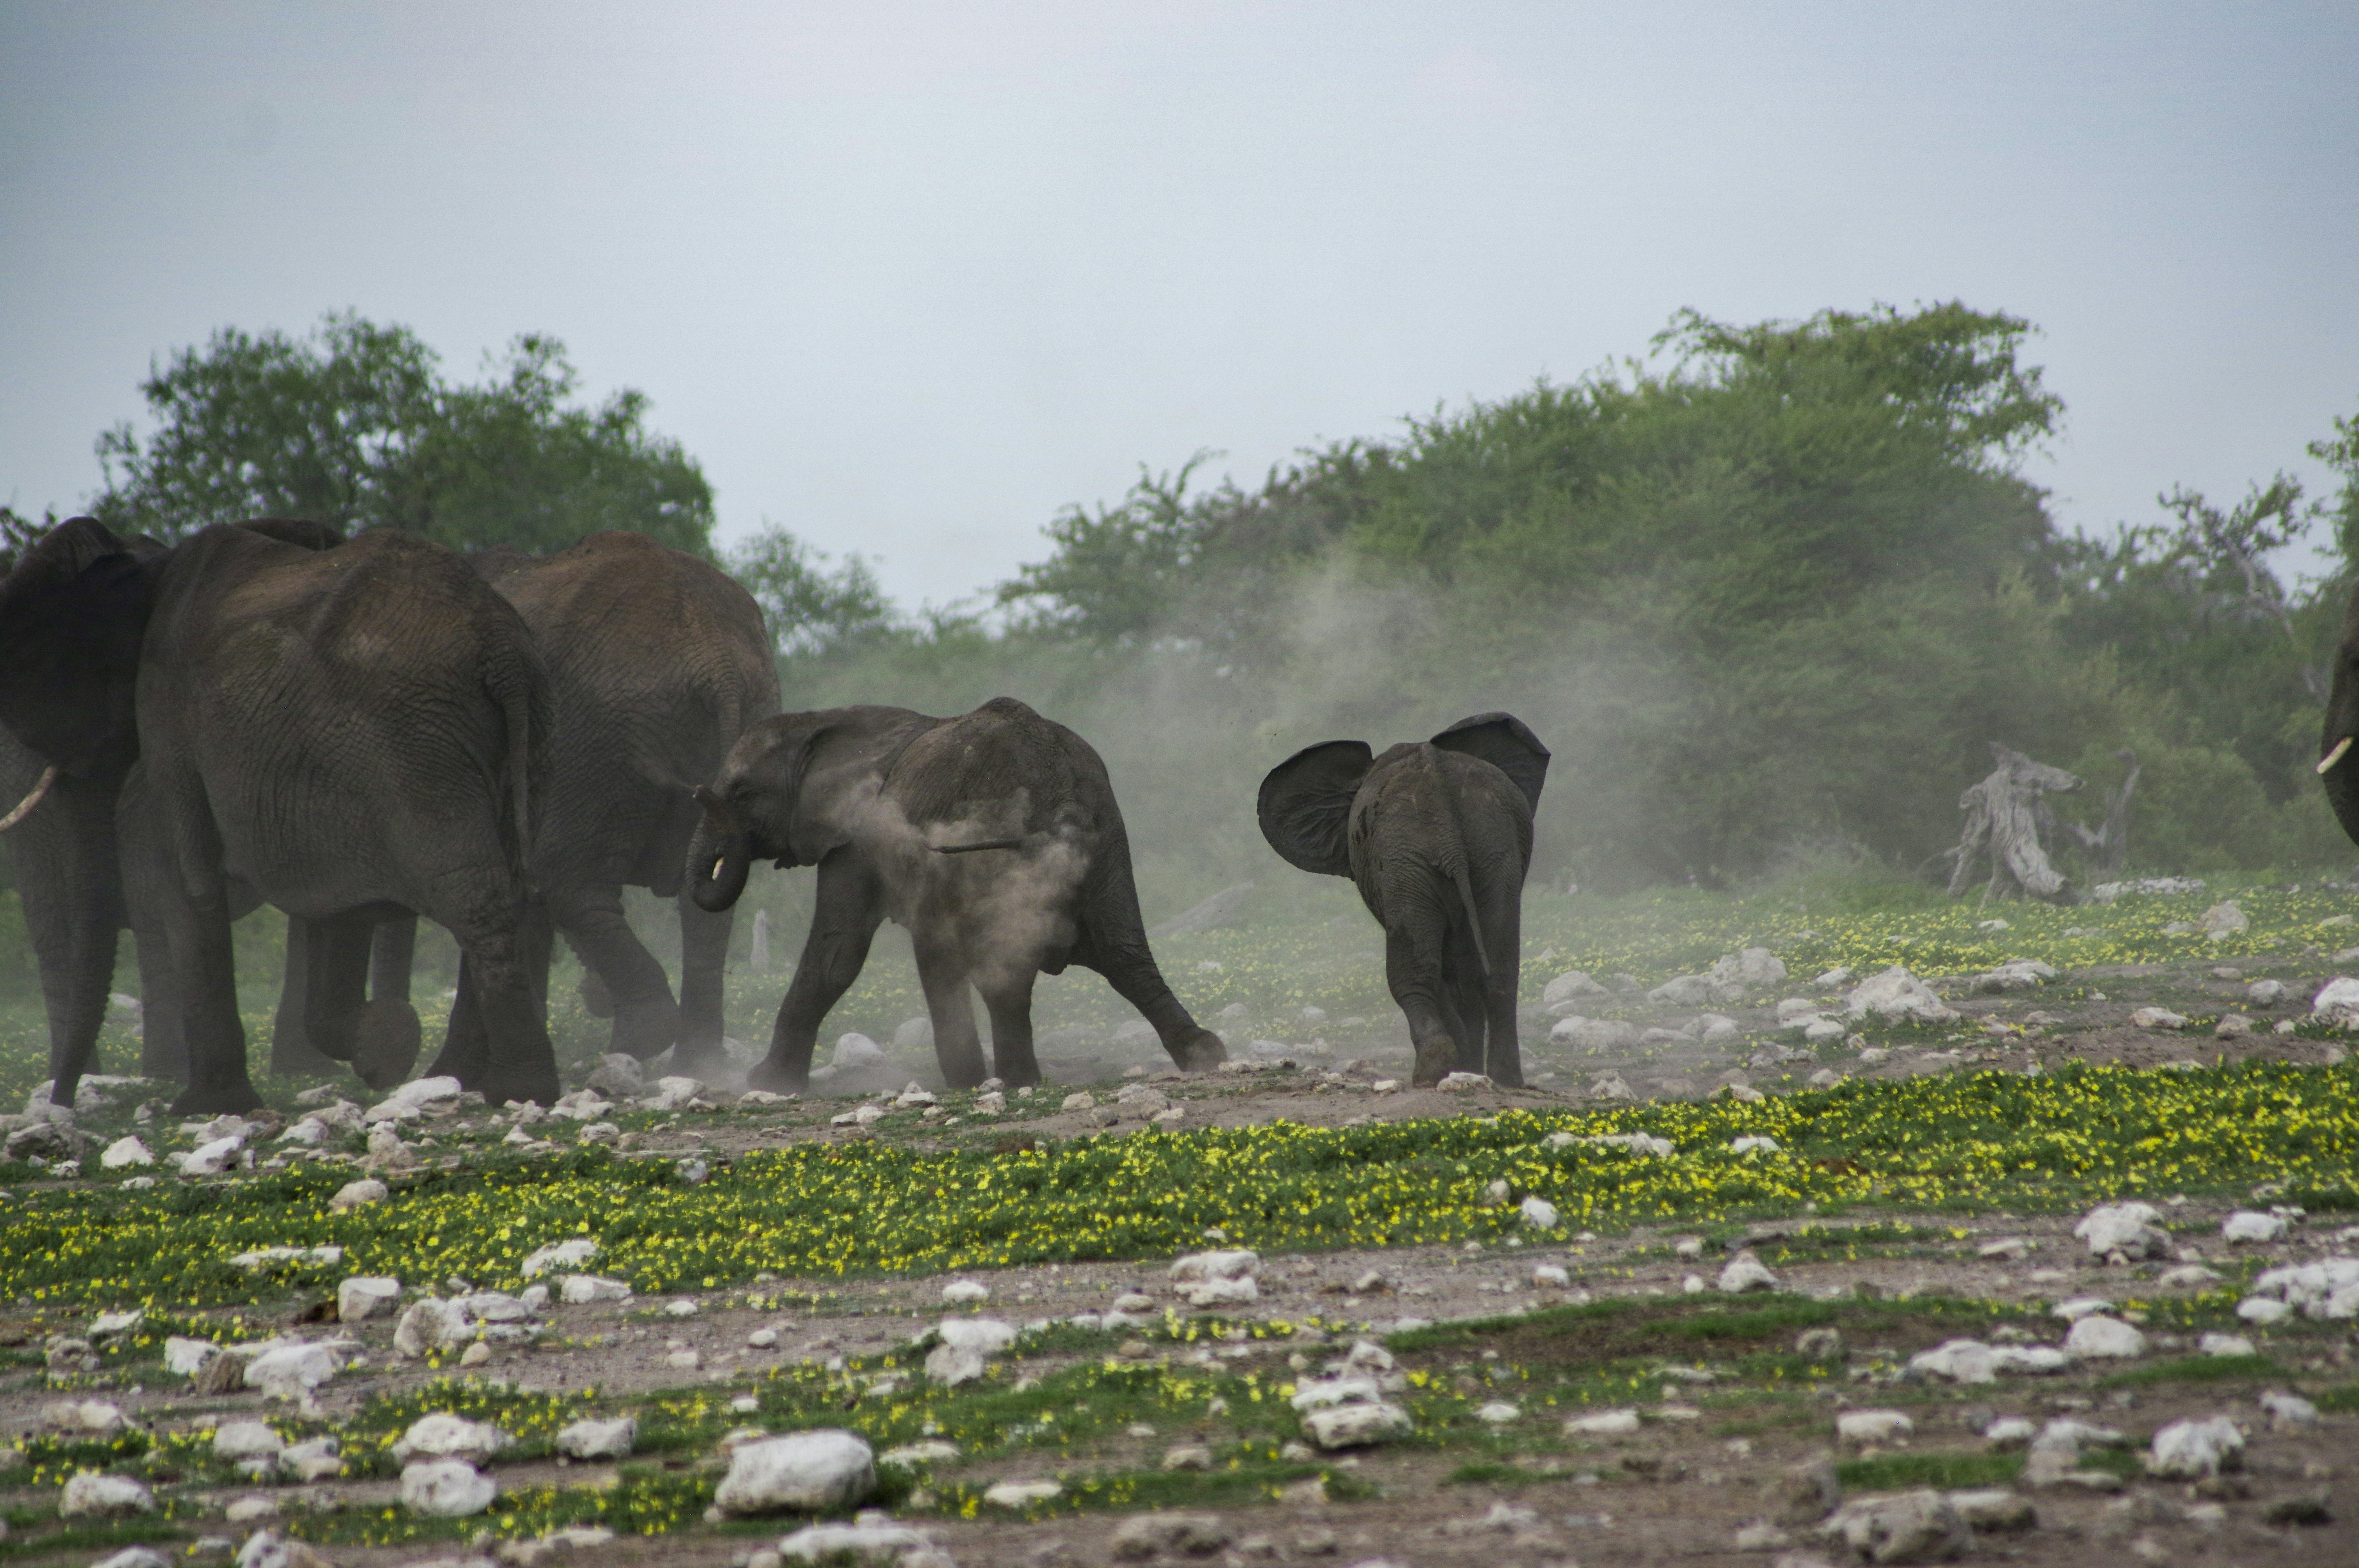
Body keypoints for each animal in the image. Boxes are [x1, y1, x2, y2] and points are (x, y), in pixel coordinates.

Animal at [0, 517, 560, 1113]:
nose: (61, 1100)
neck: (149, 562)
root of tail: (500, 648)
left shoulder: (169, 713)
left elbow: (188, 881)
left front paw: (208, 1107)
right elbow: (340, 906)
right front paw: (384, 1043)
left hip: (421, 743)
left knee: (476, 897)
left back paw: (516, 1089)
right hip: (526, 725)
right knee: (519, 887)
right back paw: (464, 1078)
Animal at [684, 697, 1228, 1090]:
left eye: (741, 795)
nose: (698, 794)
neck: (823, 723)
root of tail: (1062, 796)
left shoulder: (857, 838)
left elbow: (838, 954)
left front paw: (766, 1083)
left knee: (995, 966)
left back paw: (1011, 1079)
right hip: (1107, 840)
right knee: (1124, 952)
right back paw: (1204, 1054)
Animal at [1257, 712, 1549, 1088]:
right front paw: (1470, 1069)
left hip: (1405, 861)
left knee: (1413, 968)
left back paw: (1432, 1070)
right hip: (1494, 850)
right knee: (1500, 965)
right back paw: (1503, 1079)